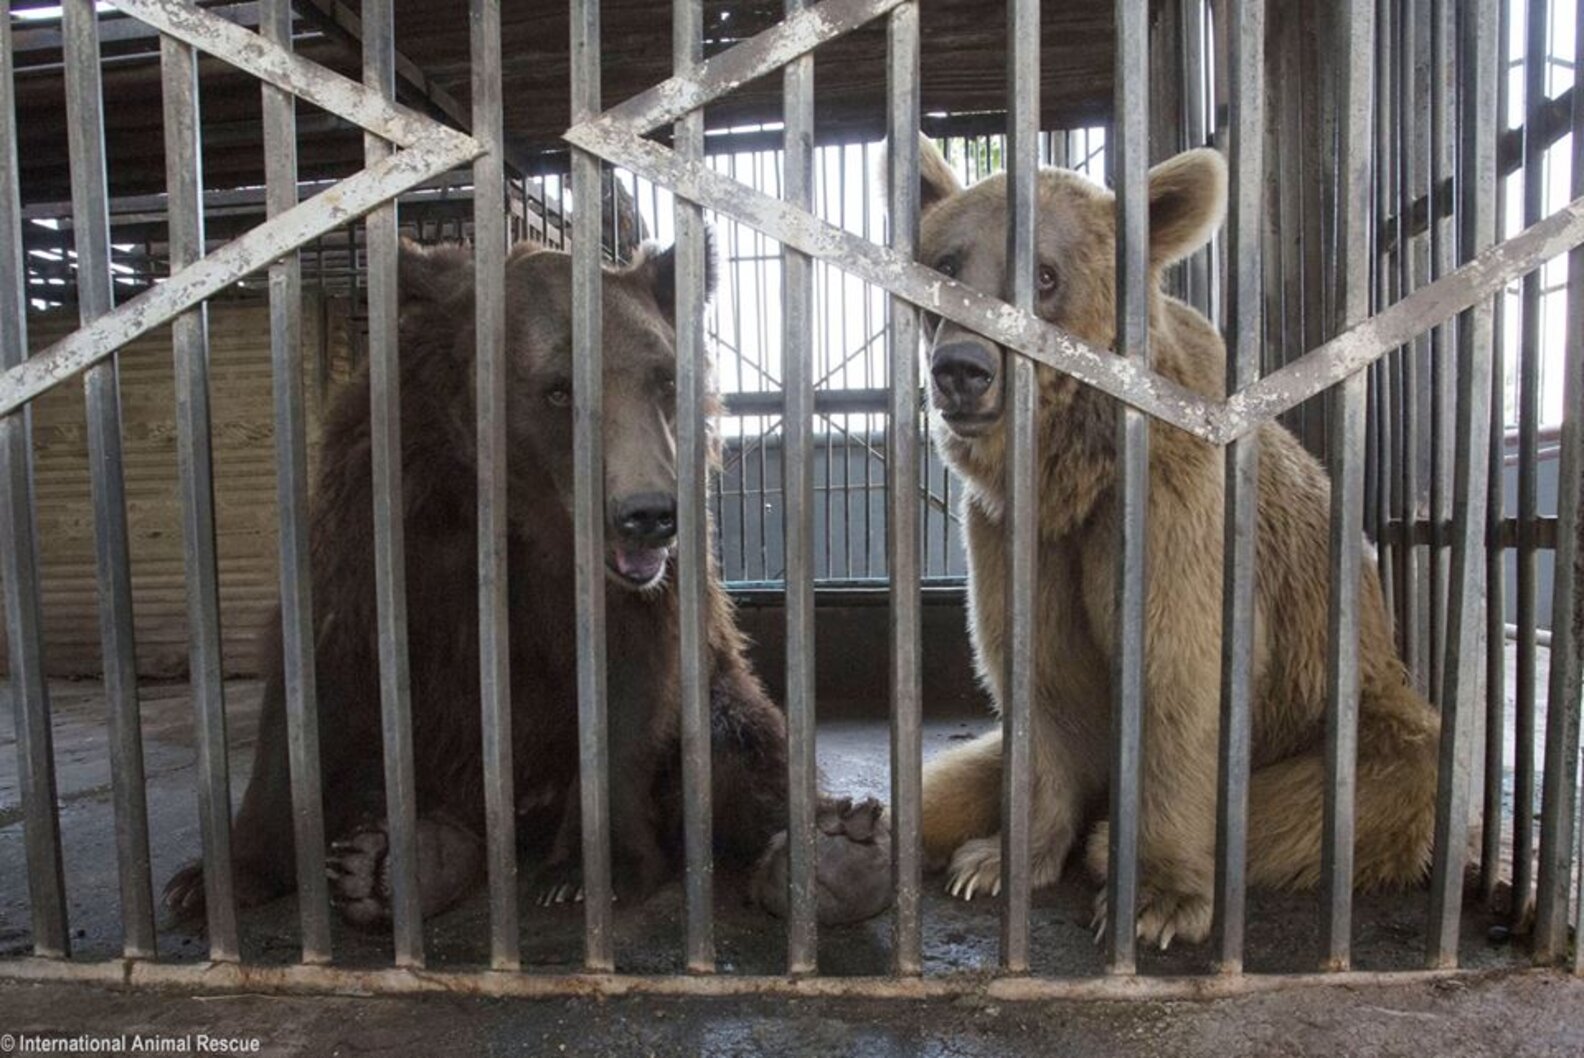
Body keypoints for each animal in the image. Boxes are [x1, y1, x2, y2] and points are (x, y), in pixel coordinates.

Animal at [163, 236, 892, 928]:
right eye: (559, 388)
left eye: (663, 378)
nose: (649, 513)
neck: (519, 507)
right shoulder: (379, 524)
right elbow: (320, 672)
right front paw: (215, 878)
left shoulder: (639, 594)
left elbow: (624, 690)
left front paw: (589, 872)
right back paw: (387, 862)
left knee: (740, 744)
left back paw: (832, 857)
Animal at [911, 137, 1440, 948]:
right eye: (946, 263)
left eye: (1045, 273)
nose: (962, 371)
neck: (1074, 475)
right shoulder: (1014, 533)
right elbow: (1040, 680)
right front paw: (998, 860)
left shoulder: (1175, 515)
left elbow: (1179, 683)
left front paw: (1154, 901)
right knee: (942, 784)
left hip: (1354, 707)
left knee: (1357, 790)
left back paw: (1110, 844)